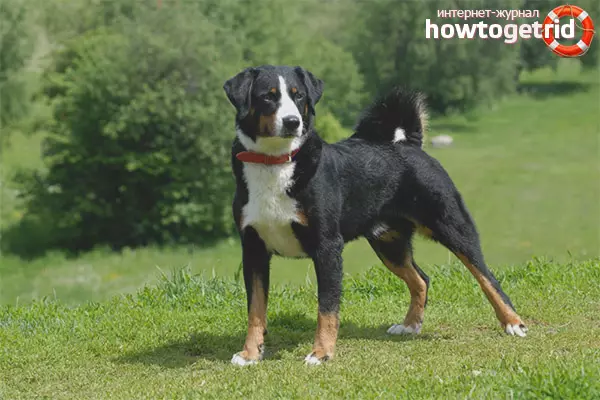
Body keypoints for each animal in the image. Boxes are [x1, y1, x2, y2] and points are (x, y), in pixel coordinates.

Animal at [223, 65, 528, 366]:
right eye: (268, 96)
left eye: (298, 96)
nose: (292, 122)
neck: (275, 162)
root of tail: (407, 144)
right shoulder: (253, 249)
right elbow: (255, 310)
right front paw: (250, 354)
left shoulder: (327, 247)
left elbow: (327, 308)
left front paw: (321, 353)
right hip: (389, 244)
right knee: (421, 279)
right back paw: (410, 325)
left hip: (452, 226)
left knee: (486, 276)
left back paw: (513, 322)